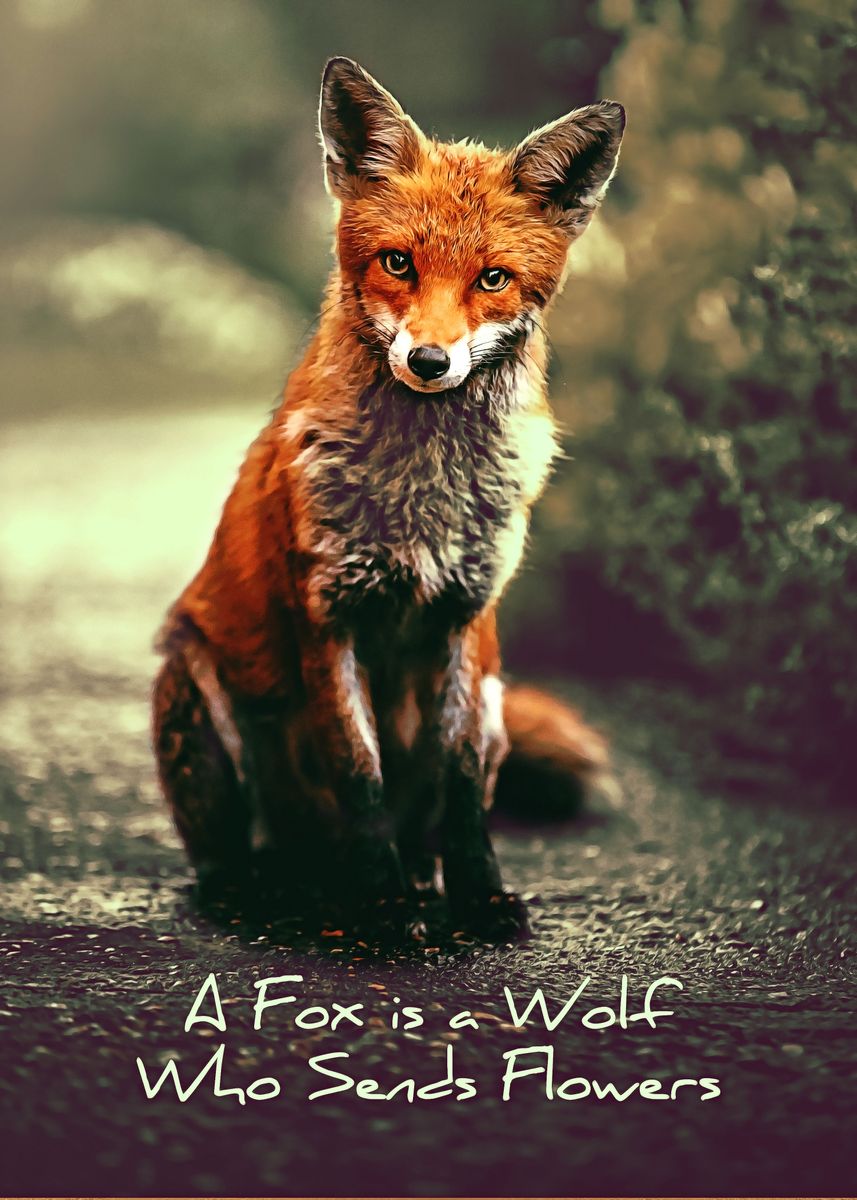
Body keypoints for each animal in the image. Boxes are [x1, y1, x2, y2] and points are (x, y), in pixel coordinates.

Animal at [152, 57, 624, 942]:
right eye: (398, 263)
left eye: (492, 278)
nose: (430, 361)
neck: (422, 491)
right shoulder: (326, 613)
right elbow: (359, 771)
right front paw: (380, 907)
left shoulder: (467, 620)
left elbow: (462, 788)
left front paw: (476, 896)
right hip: (194, 684)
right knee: (232, 854)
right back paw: (266, 888)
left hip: (498, 699)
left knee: (427, 824)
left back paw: (415, 877)